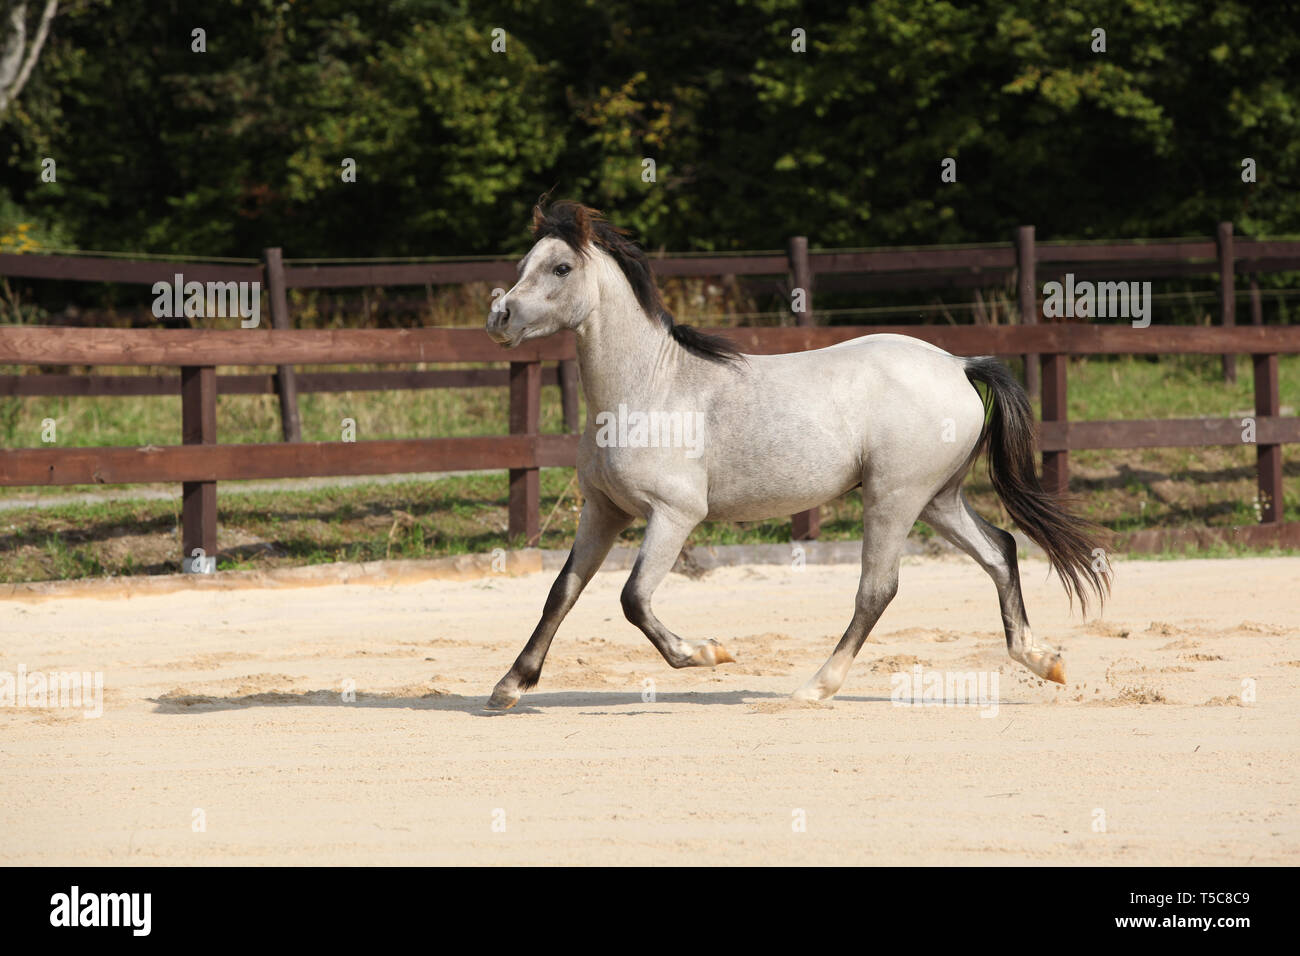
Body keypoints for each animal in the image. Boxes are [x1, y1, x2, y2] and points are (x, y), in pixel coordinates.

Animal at [483, 201, 1109, 710]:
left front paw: (709, 652)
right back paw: (1042, 660)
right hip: (936, 499)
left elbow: (633, 598)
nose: (499, 318)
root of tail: (958, 364)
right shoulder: (603, 511)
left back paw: (815, 686)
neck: (650, 387)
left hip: (893, 497)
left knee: (877, 590)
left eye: (561, 268)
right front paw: (509, 686)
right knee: (1000, 551)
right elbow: (561, 592)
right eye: (524, 262)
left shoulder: (673, 514)